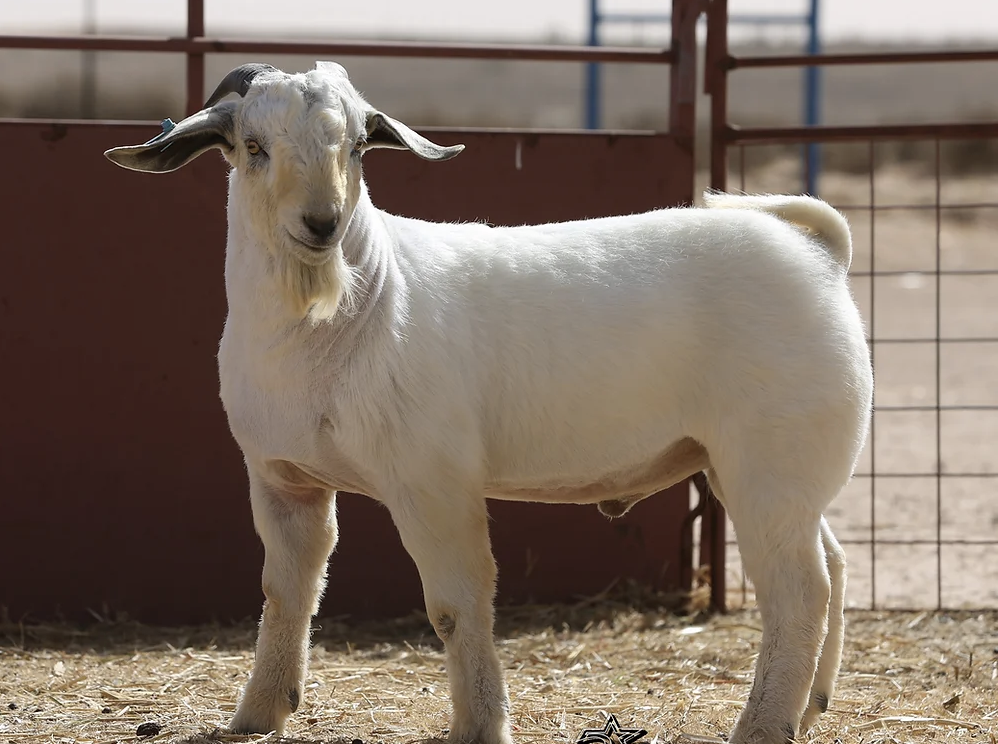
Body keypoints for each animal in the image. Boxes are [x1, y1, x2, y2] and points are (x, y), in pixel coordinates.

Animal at [104, 61, 873, 744]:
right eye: (253, 147)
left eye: (357, 146)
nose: (321, 223)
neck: (350, 303)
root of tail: (815, 251)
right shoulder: (281, 480)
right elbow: (285, 594)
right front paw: (257, 714)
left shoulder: (432, 480)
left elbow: (456, 604)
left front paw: (481, 724)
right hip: (763, 468)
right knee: (833, 567)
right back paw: (812, 707)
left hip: (769, 460)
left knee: (797, 592)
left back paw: (765, 725)